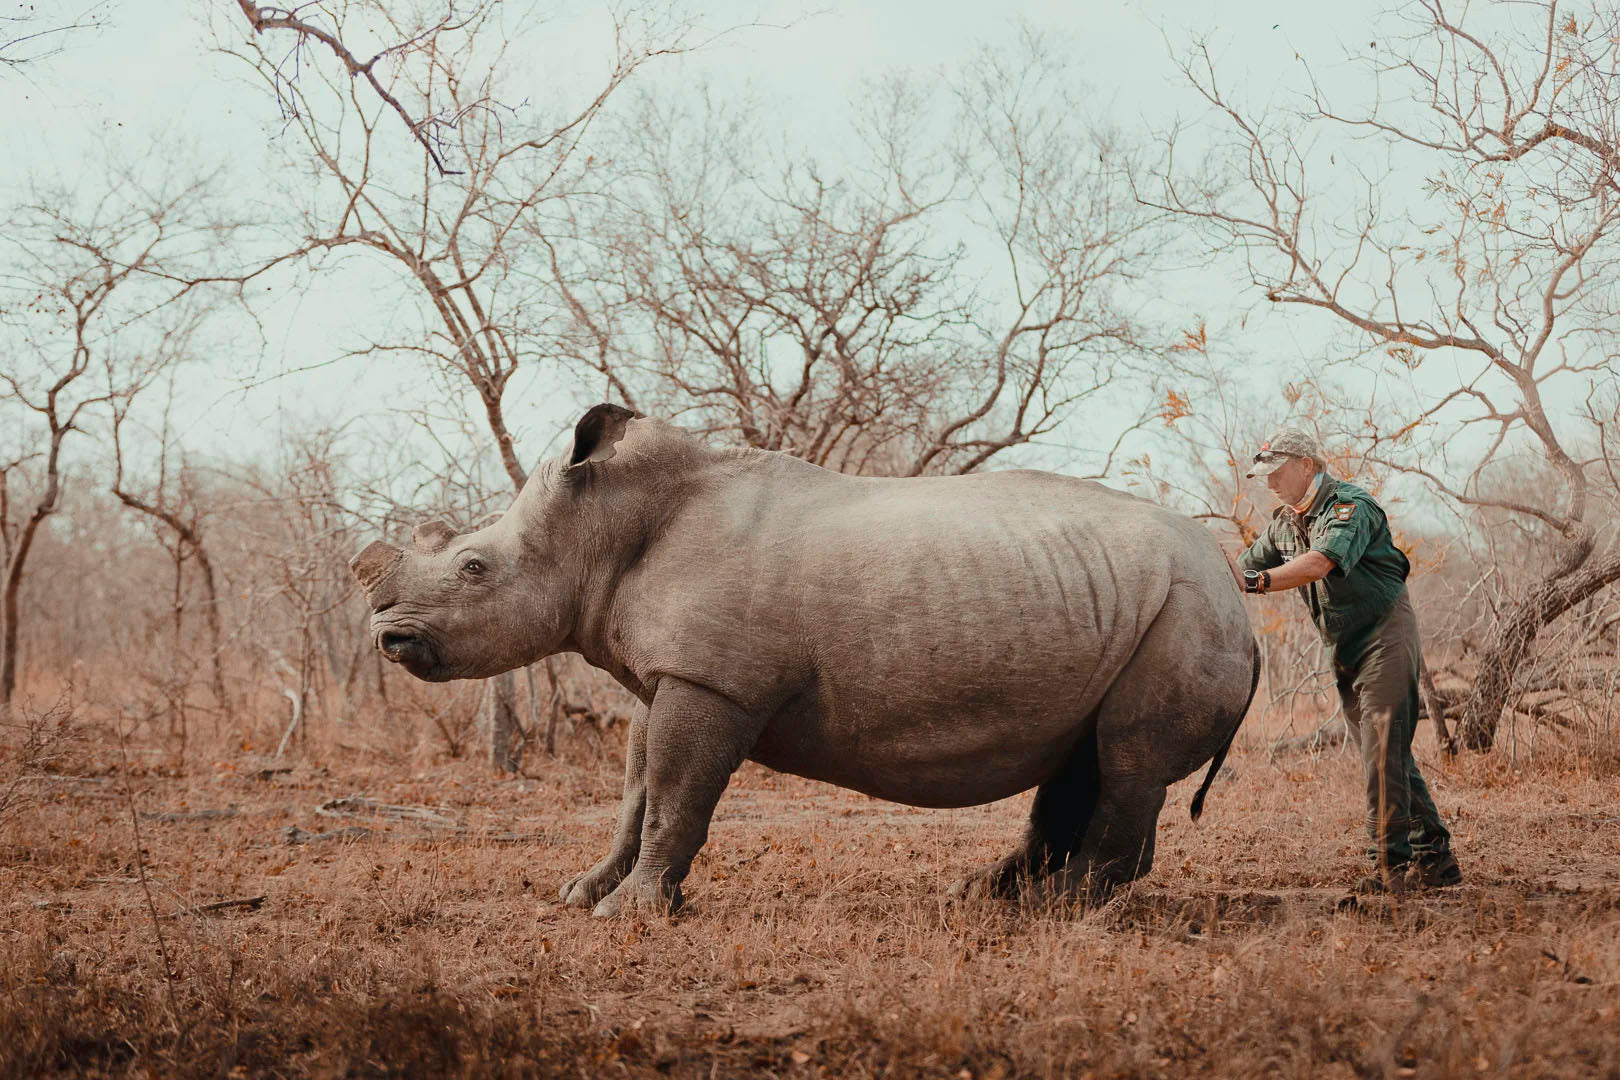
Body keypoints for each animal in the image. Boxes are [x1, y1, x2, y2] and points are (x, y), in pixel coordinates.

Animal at [351, 405, 1260, 917]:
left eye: (473, 567)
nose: (387, 635)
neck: (602, 528)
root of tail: (1240, 594)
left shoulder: (712, 680)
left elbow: (675, 794)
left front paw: (634, 913)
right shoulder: (668, 673)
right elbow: (635, 789)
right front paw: (584, 894)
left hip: (1186, 615)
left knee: (1126, 761)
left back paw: (1067, 910)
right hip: (1121, 611)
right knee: (1083, 759)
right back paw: (993, 895)